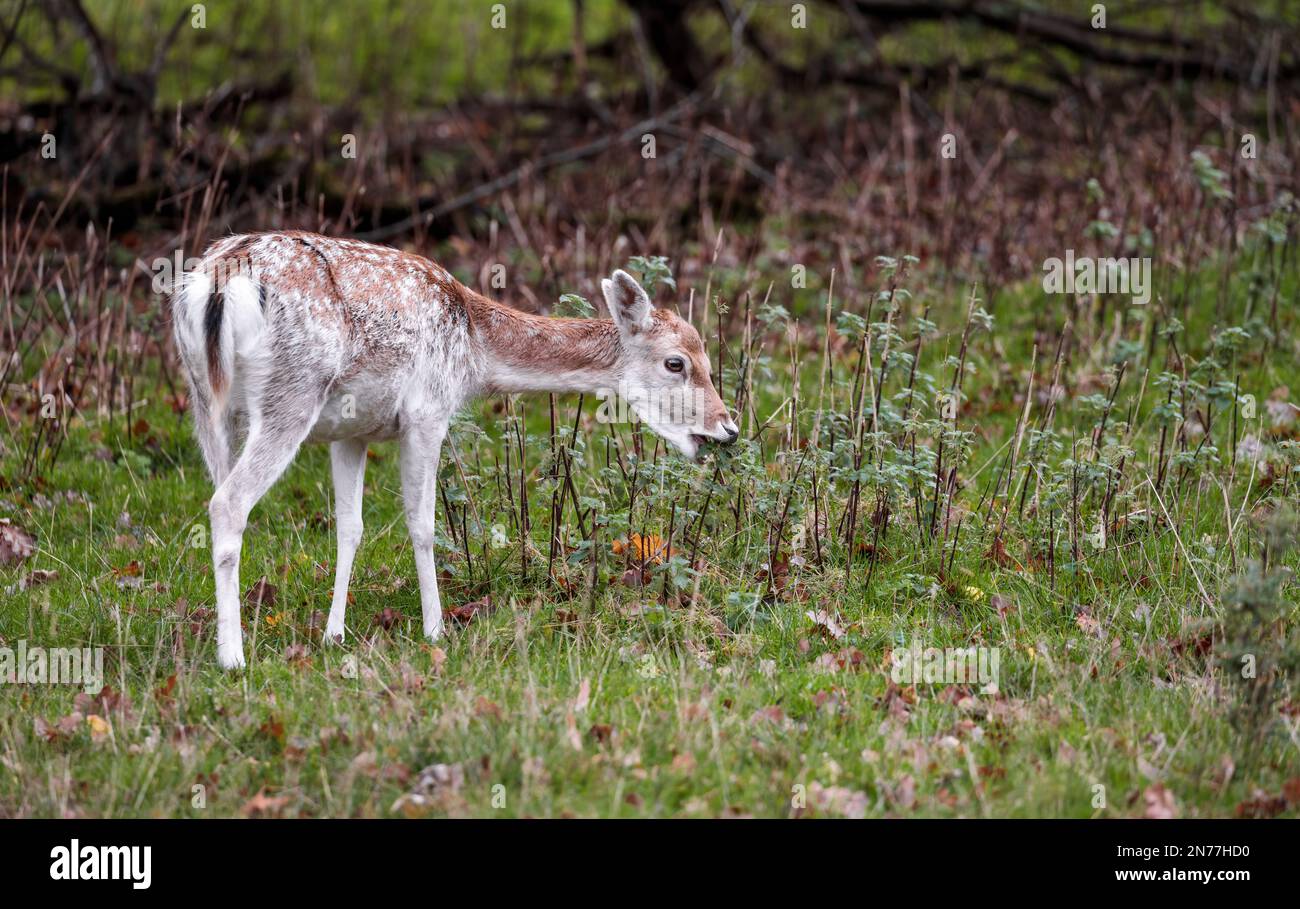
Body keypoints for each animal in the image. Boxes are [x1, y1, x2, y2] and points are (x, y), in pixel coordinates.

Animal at [172, 231, 739, 669]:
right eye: (675, 363)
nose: (728, 427)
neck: (474, 354)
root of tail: (219, 278)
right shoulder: (428, 410)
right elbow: (423, 525)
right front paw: (436, 629)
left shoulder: (351, 431)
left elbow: (350, 528)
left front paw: (334, 634)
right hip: (291, 392)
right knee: (228, 503)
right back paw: (233, 657)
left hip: (205, 401)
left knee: (220, 490)